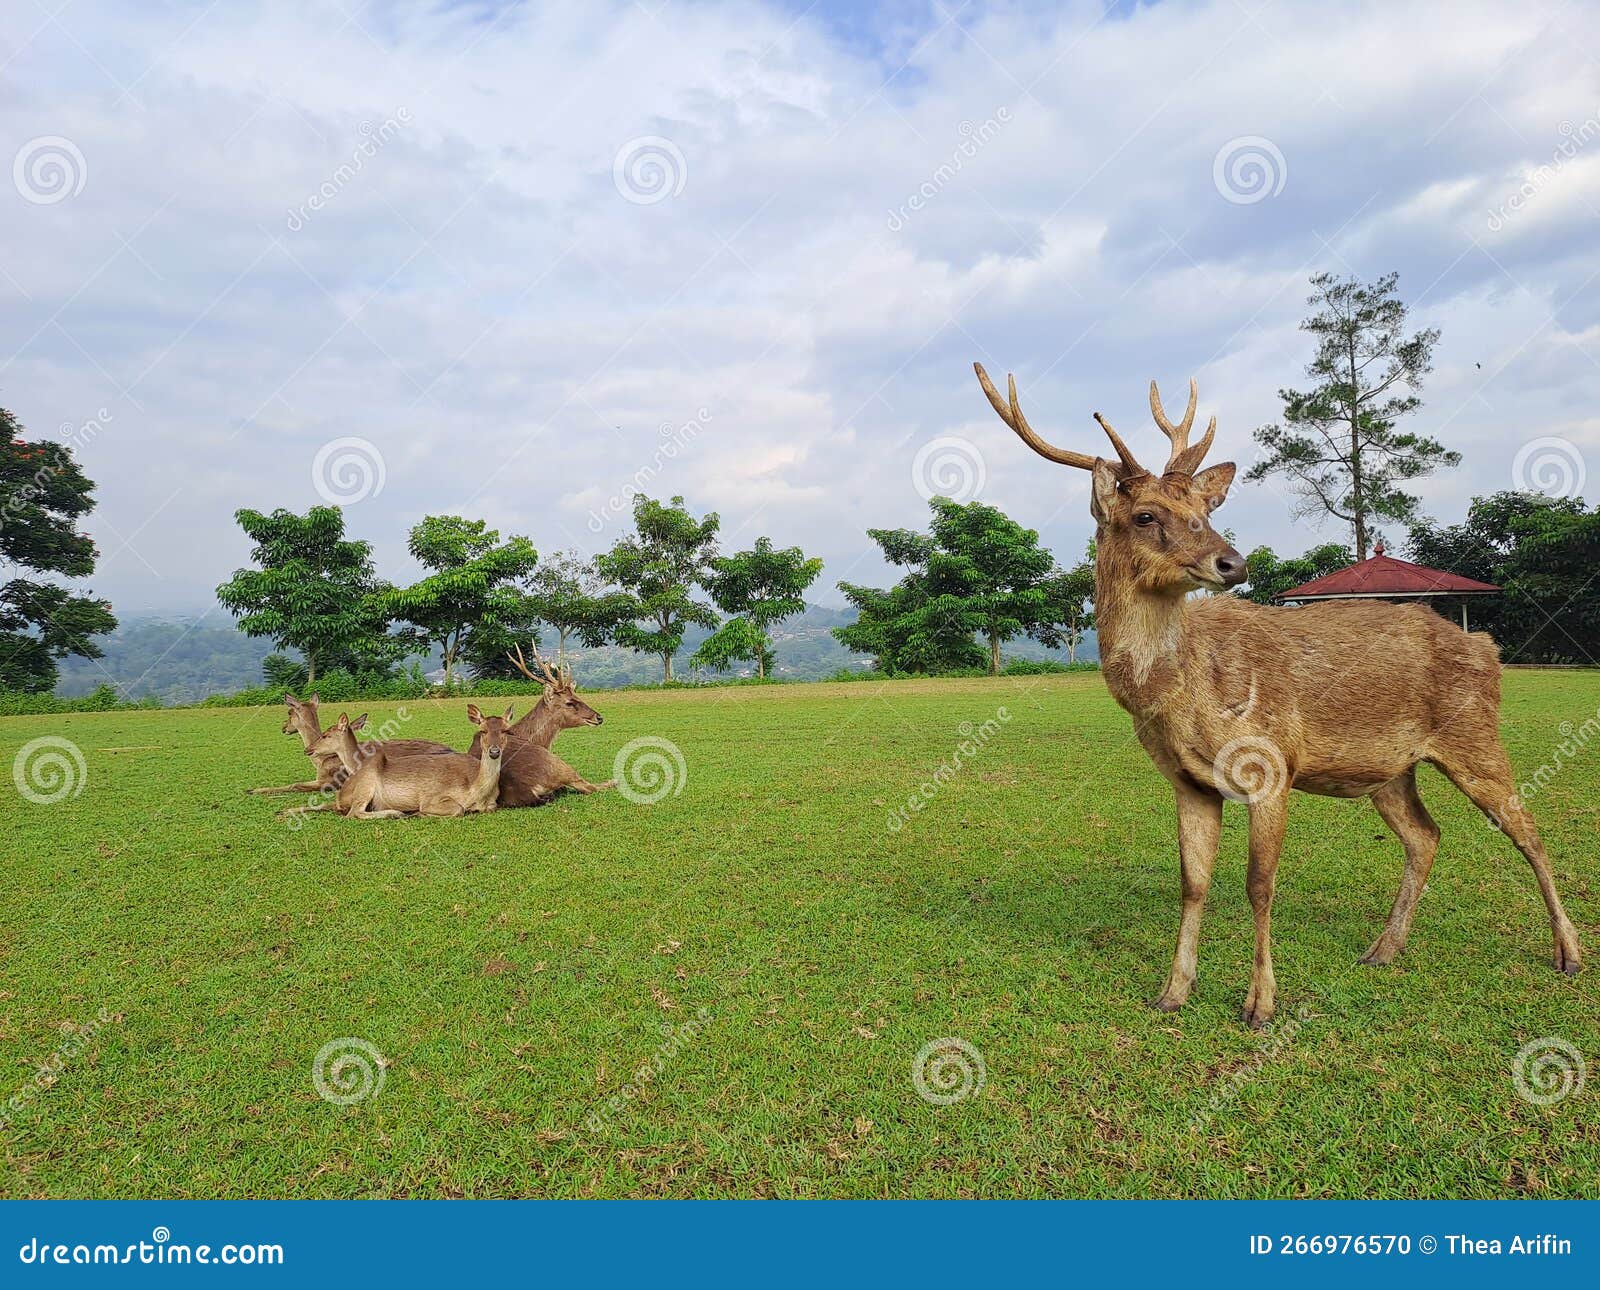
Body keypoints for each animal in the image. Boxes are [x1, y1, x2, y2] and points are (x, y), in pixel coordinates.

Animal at [249, 692, 451, 795]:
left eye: (289, 712)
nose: (283, 727)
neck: (320, 761)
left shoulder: (329, 780)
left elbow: (295, 785)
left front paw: (253, 789)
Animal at [285, 705, 514, 820]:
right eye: (482, 730)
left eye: (506, 730)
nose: (308, 749)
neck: (476, 789)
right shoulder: (431, 797)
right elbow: (457, 809)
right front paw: (420, 812)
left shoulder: (492, 804)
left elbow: (487, 808)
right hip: (367, 784)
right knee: (353, 813)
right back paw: (396, 813)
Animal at [466, 643, 615, 808]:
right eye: (569, 702)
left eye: (577, 696)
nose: (599, 717)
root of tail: (524, 788)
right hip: (558, 764)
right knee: (589, 787)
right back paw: (613, 781)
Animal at [974, 362, 1583, 1028]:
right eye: (1146, 516)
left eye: (1203, 508)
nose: (1232, 562)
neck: (1181, 698)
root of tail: (1489, 649)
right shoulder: (1187, 780)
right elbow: (1193, 883)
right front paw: (1173, 991)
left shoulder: (1271, 764)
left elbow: (1258, 885)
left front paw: (1260, 1003)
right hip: (1390, 769)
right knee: (1426, 835)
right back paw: (1383, 949)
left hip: (1475, 736)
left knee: (1527, 828)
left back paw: (1568, 953)